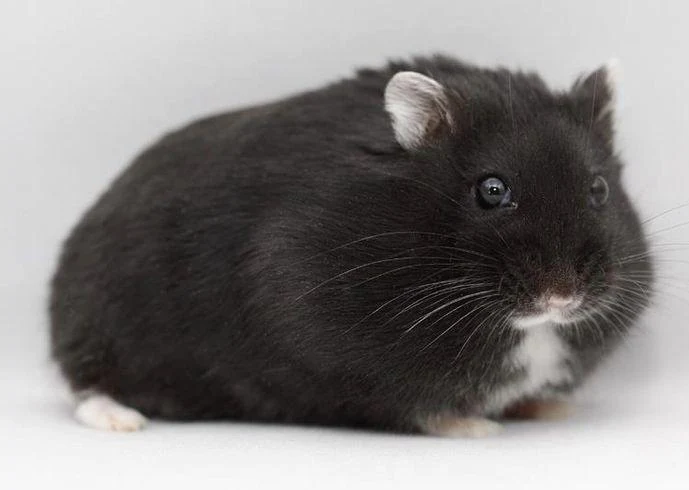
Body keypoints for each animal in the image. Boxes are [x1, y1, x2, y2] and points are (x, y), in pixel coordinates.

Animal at [50, 55, 654, 436]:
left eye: (599, 190)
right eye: (491, 190)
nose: (563, 297)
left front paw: (551, 410)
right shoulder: (341, 361)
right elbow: (417, 408)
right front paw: (476, 428)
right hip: (102, 327)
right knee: (85, 386)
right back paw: (125, 421)